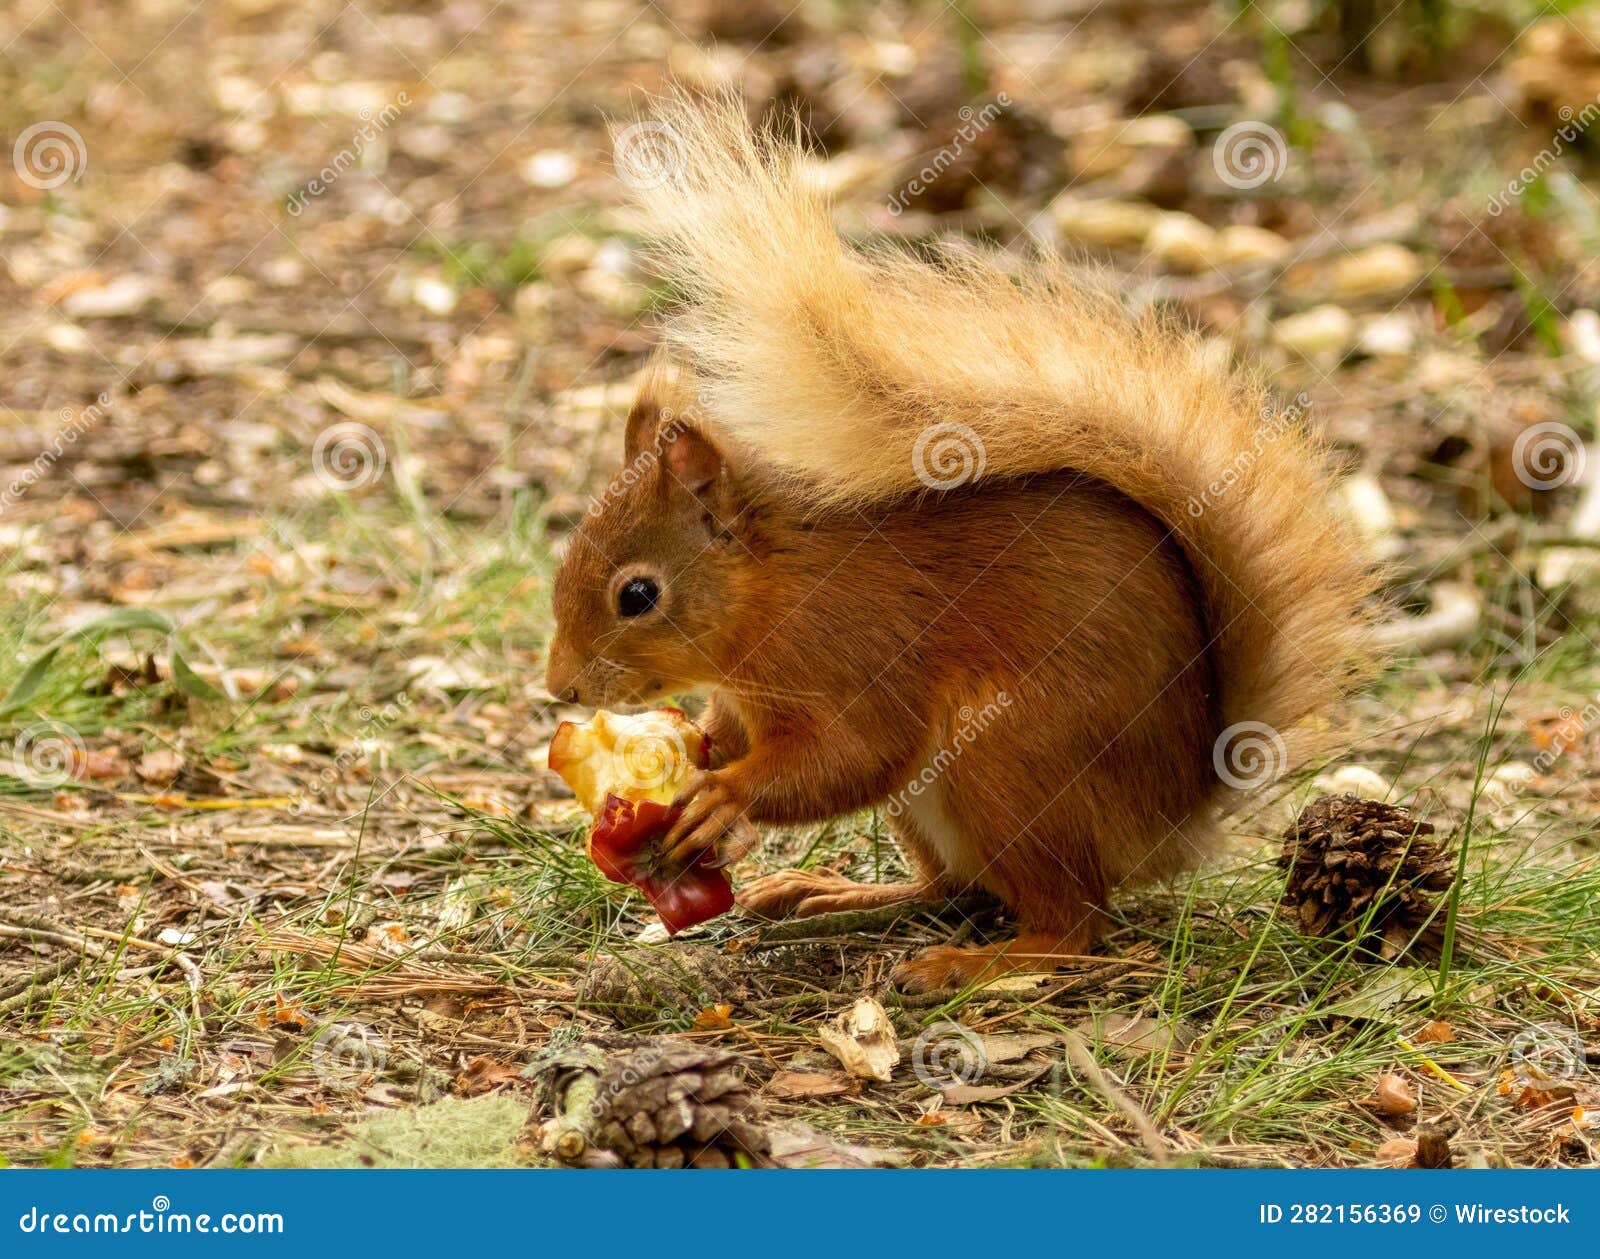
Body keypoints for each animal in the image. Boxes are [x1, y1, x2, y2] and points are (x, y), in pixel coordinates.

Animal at [544, 95, 1374, 992]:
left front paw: (723, 796)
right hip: (937, 802)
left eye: (637, 594)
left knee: (1070, 921)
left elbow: (855, 753)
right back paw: (836, 893)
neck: (773, 591)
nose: (562, 688)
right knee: (952, 886)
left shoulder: (857, 648)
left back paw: (972, 964)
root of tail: (1170, 818)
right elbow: (735, 734)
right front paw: (696, 752)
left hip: (1009, 761)